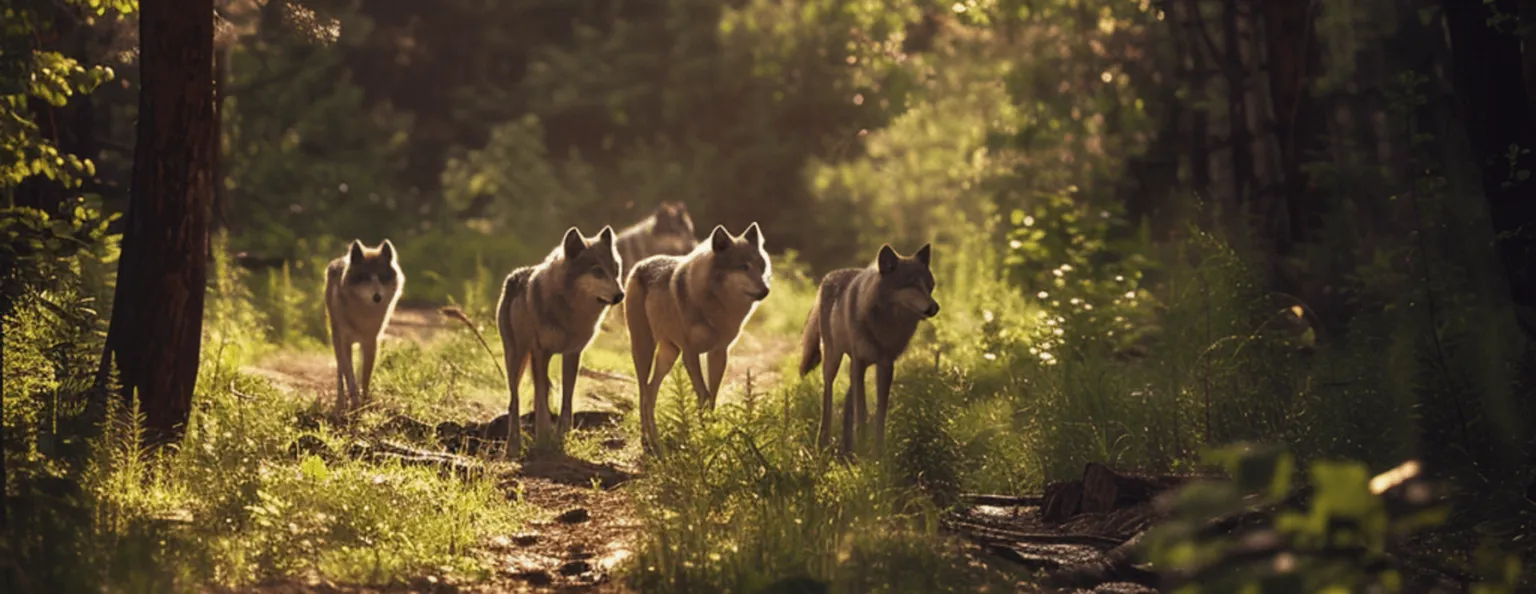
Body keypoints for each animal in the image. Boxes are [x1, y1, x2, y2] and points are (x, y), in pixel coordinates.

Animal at [324, 239, 405, 414]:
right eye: (365, 278)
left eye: (382, 277)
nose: (377, 297)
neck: (362, 315)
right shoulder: (345, 343)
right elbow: (350, 376)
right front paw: (354, 404)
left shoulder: (370, 342)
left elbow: (365, 377)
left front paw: (366, 403)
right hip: (336, 340)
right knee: (340, 371)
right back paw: (341, 403)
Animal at [497, 226, 624, 456]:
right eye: (597, 272)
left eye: (615, 270)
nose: (621, 295)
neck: (568, 313)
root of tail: (513, 276)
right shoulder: (540, 352)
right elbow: (541, 398)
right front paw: (544, 438)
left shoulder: (572, 354)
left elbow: (566, 398)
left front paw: (561, 435)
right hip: (516, 358)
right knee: (514, 401)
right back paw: (513, 446)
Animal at [625, 223, 772, 452]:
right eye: (743, 267)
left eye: (760, 266)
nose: (765, 290)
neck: (715, 305)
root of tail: (641, 263)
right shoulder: (690, 353)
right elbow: (703, 393)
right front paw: (703, 434)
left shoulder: (718, 353)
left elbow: (713, 395)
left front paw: (711, 433)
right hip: (644, 349)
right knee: (642, 391)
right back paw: (647, 440)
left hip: (669, 354)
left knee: (650, 390)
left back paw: (655, 438)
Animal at [798, 244, 939, 457]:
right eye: (912, 284)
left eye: (930, 286)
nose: (935, 307)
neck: (884, 325)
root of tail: (828, 276)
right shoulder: (860, 362)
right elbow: (862, 411)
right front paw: (863, 449)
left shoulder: (885, 366)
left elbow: (879, 413)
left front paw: (876, 452)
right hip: (833, 361)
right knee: (828, 397)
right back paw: (824, 443)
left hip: (853, 368)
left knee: (848, 401)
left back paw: (847, 448)